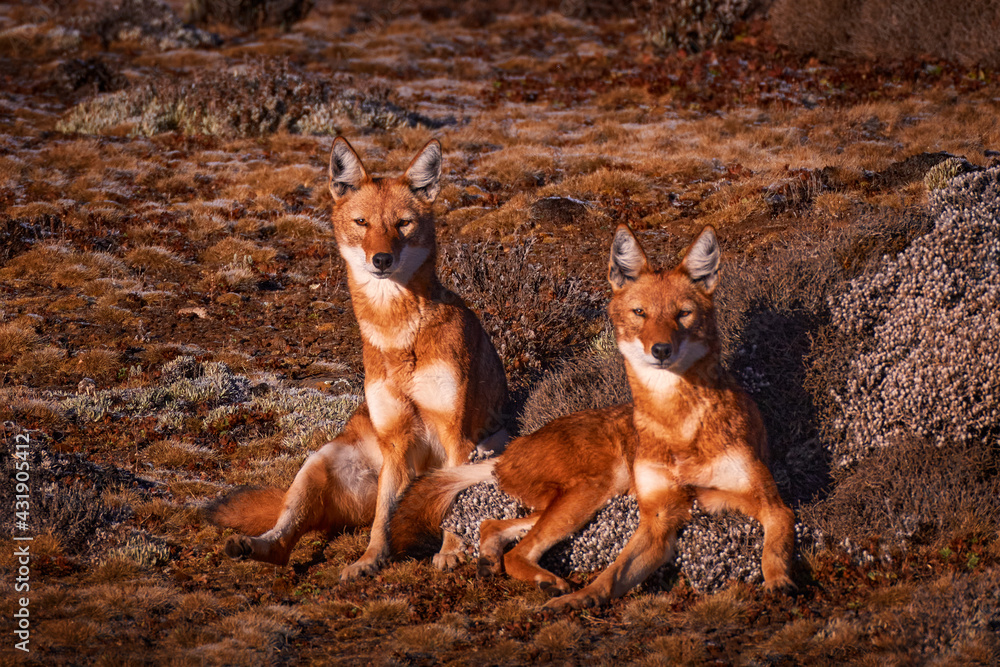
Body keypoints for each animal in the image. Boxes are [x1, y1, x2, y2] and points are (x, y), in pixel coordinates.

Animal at [209, 137, 508, 580]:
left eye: (403, 224)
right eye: (362, 222)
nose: (381, 259)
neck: (398, 337)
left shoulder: (458, 436)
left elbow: (453, 502)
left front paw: (451, 553)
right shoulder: (396, 442)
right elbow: (383, 522)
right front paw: (370, 560)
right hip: (319, 463)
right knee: (288, 537)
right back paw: (252, 546)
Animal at [391, 225, 795, 604]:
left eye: (683, 314)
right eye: (640, 313)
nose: (661, 350)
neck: (677, 424)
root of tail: (512, 449)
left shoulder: (770, 504)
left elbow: (774, 549)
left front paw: (780, 583)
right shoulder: (658, 518)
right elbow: (613, 573)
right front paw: (578, 600)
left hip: (579, 499)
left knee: (494, 527)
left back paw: (492, 563)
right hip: (595, 488)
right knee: (517, 548)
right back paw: (545, 582)